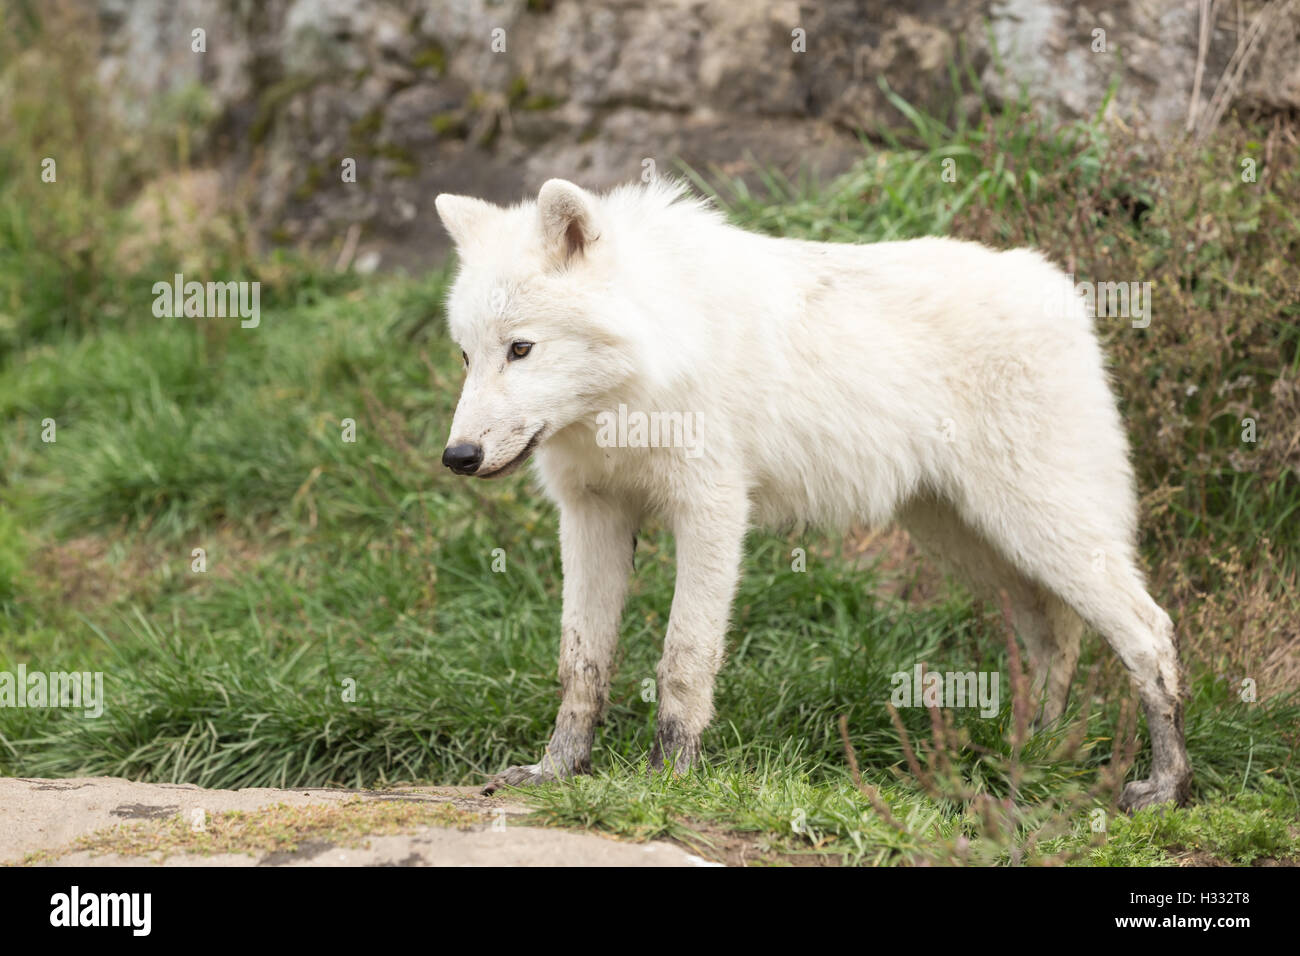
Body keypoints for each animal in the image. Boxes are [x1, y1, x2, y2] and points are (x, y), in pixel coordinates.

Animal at [435, 178, 1191, 811]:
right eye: (467, 356)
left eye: (522, 349)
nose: (458, 456)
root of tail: (1060, 288)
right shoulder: (590, 514)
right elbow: (581, 663)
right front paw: (557, 771)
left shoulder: (711, 513)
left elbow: (684, 659)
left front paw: (666, 780)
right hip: (973, 542)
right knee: (1056, 639)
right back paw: (1031, 758)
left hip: (1034, 528)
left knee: (1149, 632)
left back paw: (1166, 787)